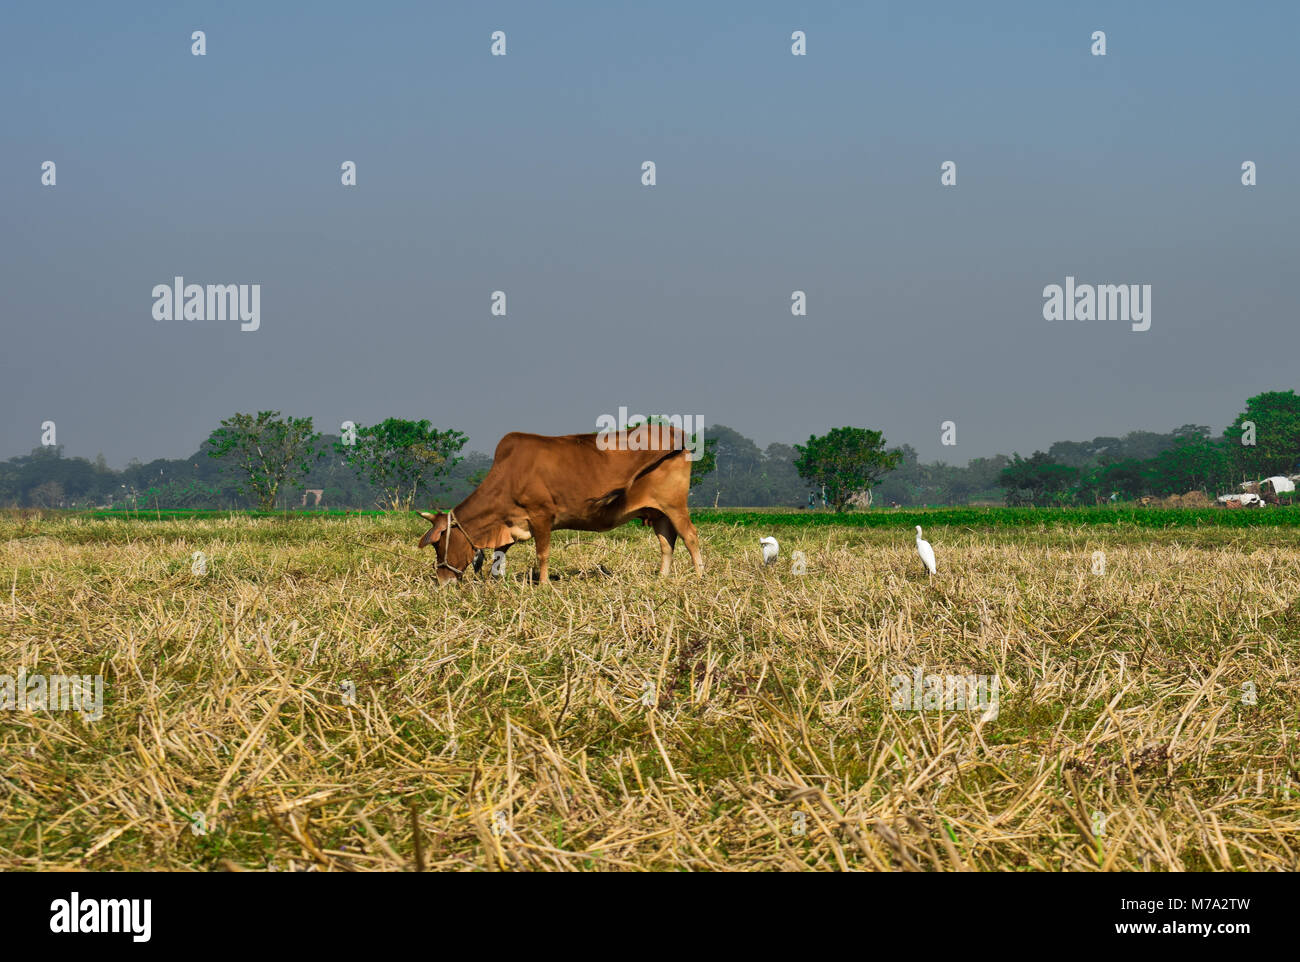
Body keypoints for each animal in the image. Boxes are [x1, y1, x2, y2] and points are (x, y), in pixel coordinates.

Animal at [416, 429, 705, 584]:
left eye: (438, 544)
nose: (442, 581)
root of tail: (675, 433)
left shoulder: (541, 515)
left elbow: (542, 553)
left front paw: (543, 584)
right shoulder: (512, 523)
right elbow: (500, 552)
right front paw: (497, 578)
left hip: (675, 505)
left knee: (690, 536)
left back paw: (700, 576)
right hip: (658, 512)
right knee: (666, 542)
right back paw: (662, 577)